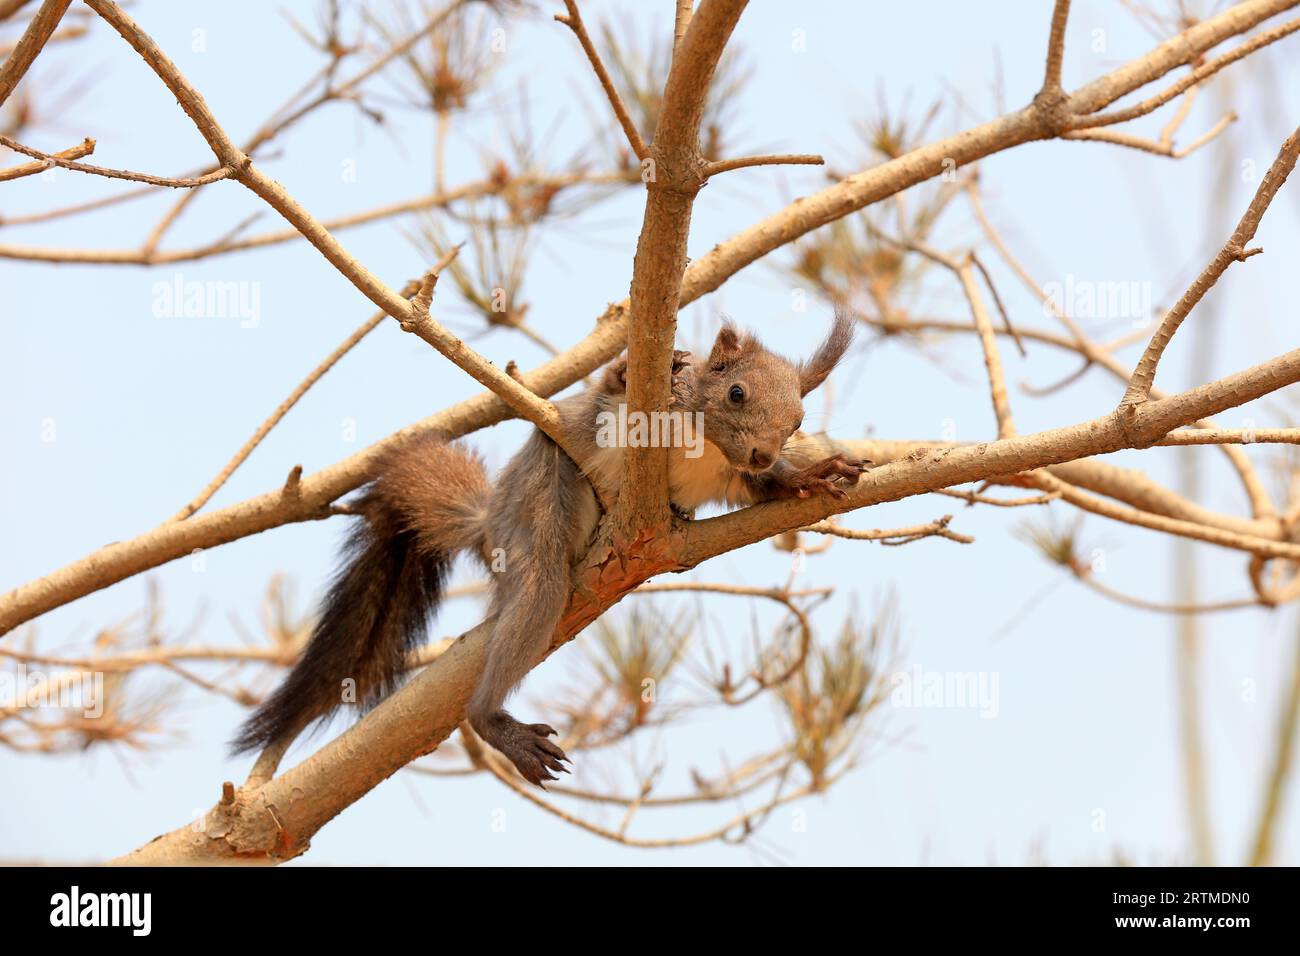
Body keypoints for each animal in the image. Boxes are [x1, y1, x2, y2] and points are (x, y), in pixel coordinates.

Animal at [231, 311, 865, 785]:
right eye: (735, 392)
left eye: (798, 419)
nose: (761, 452)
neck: (705, 444)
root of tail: (488, 525)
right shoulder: (625, 414)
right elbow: (612, 390)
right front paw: (638, 366)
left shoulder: (734, 479)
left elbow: (766, 487)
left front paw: (809, 475)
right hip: (537, 511)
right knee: (538, 588)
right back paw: (496, 724)